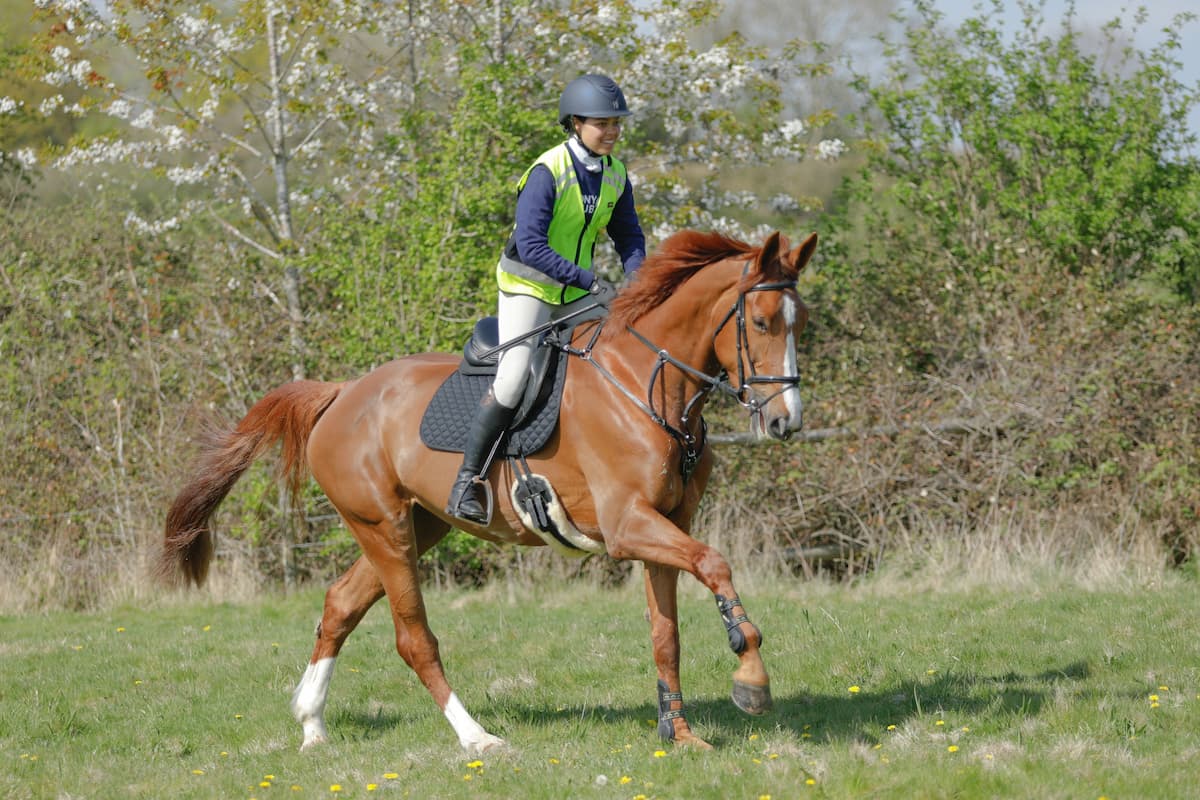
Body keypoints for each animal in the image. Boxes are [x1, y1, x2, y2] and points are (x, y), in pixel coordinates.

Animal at [159, 228, 816, 753]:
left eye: (800, 323)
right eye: (760, 323)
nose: (786, 422)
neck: (647, 385)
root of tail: (342, 392)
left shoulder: (666, 523)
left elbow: (666, 633)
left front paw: (679, 734)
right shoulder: (628, 526)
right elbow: (716, 564)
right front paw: (751, 678)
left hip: (416, 525)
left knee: (341, 604)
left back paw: (312, 725)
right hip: (383, 527)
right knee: (413, 638)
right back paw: (476, 737)